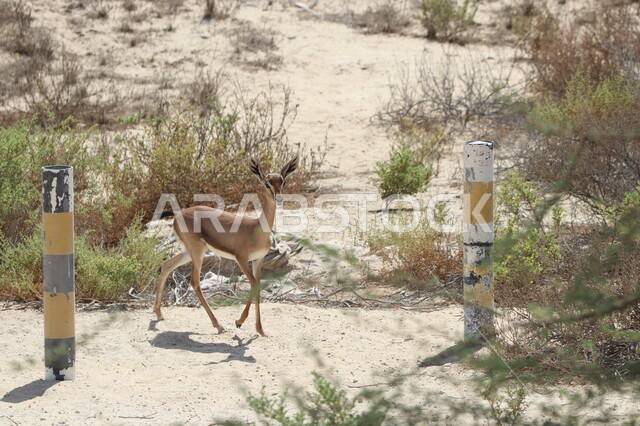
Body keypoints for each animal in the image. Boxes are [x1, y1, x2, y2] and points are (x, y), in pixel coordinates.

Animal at [153, 156, 298, 337]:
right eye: (267, 183)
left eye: (283, 181)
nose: (279, 198)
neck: (256, 229)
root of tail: (178, 214)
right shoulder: (241, 259)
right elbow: (253, 284)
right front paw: (239, 322)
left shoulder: (258, 260)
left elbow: (257, 285)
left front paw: (260, 329)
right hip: (197, 252)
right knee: (194, 281)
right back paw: (219, 325)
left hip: (190, 252)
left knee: (166, 265)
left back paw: (158, 313)